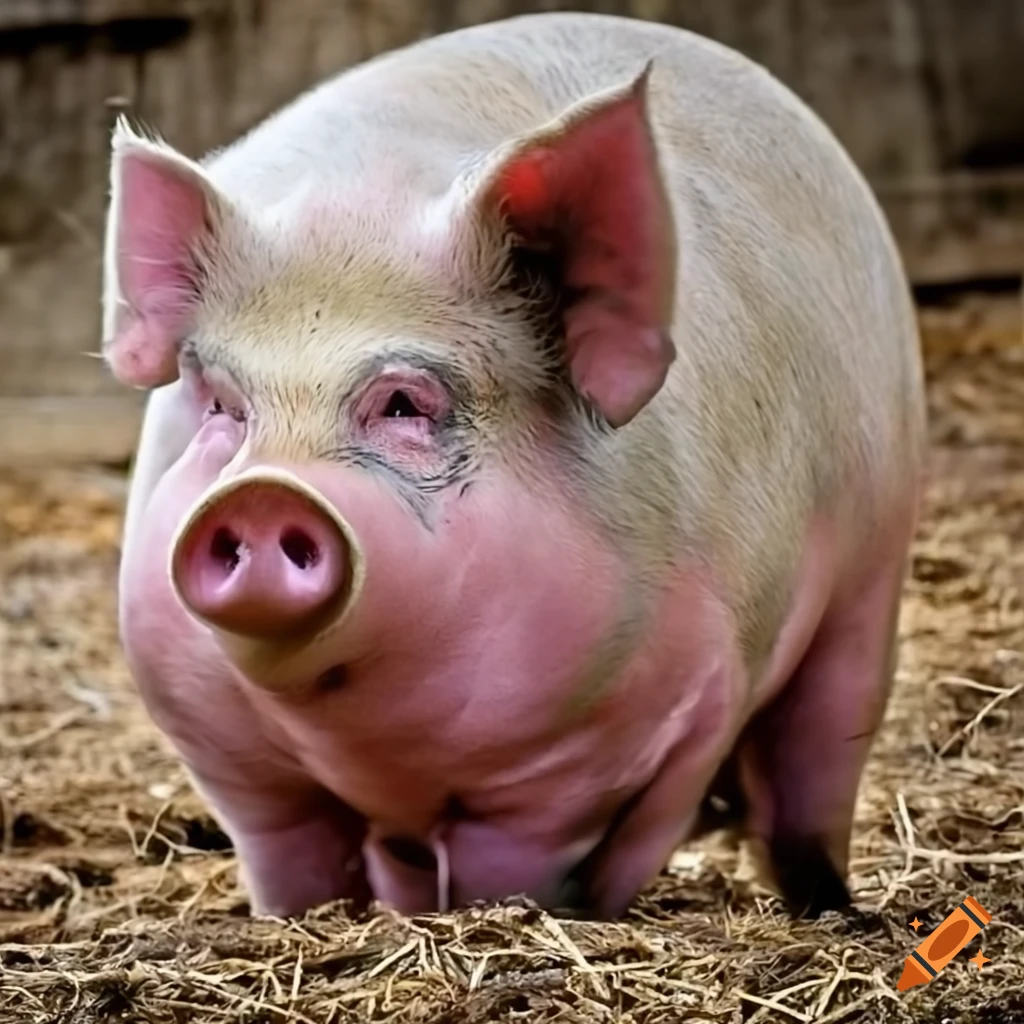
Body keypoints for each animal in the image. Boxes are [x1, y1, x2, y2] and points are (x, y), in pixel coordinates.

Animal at [105, 11, 926, 921]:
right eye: (222, 405)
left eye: (405, 404)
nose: (257, 496)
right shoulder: (240, 772)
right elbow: (292, 864)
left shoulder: (619, 746)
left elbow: (541, 854)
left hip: (873, 571)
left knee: (821, 750)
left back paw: (836, 908)